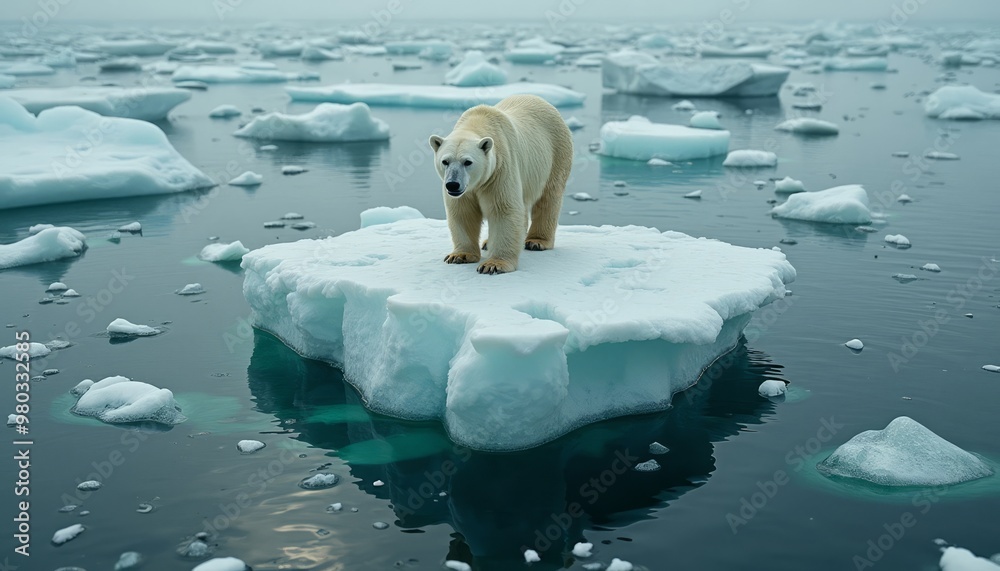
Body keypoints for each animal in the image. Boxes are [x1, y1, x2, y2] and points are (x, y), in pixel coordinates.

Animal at [429, 94, 573, 275]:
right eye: (445, 161)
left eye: (468, 162)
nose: (453, 185)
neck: (478, 122)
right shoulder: (466, 191)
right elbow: (463, 212)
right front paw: (459, 256)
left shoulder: (500, 169)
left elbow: (503, 210)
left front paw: (493, 265)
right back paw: (487, 242)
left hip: (556, 154)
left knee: (549, 198)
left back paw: (536, 241)